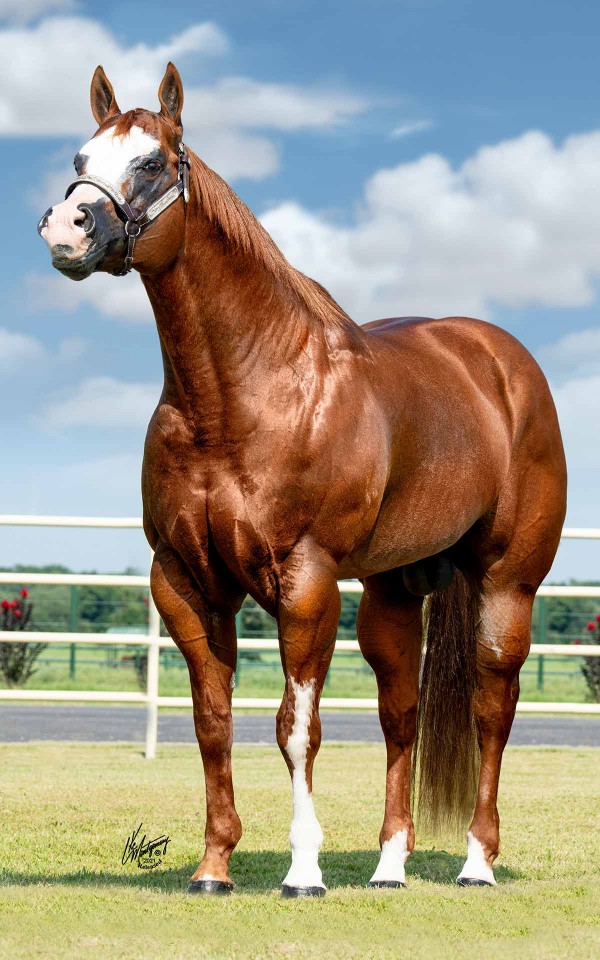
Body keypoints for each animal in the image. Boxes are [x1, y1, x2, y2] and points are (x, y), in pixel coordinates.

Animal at [38, 62, 567, 897]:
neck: (245, 391)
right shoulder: (184, 580)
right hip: (392, 592)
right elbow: (212, 721)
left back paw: (477, 863)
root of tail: (500, 362)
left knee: (492, 707)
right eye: (82, 158)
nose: (68, 228)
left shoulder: (306, 579)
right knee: (400, 713)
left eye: (154, 161)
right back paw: (389, 866)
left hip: (507, 585)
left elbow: (297, 725)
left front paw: (303, 869)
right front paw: (213, 867)